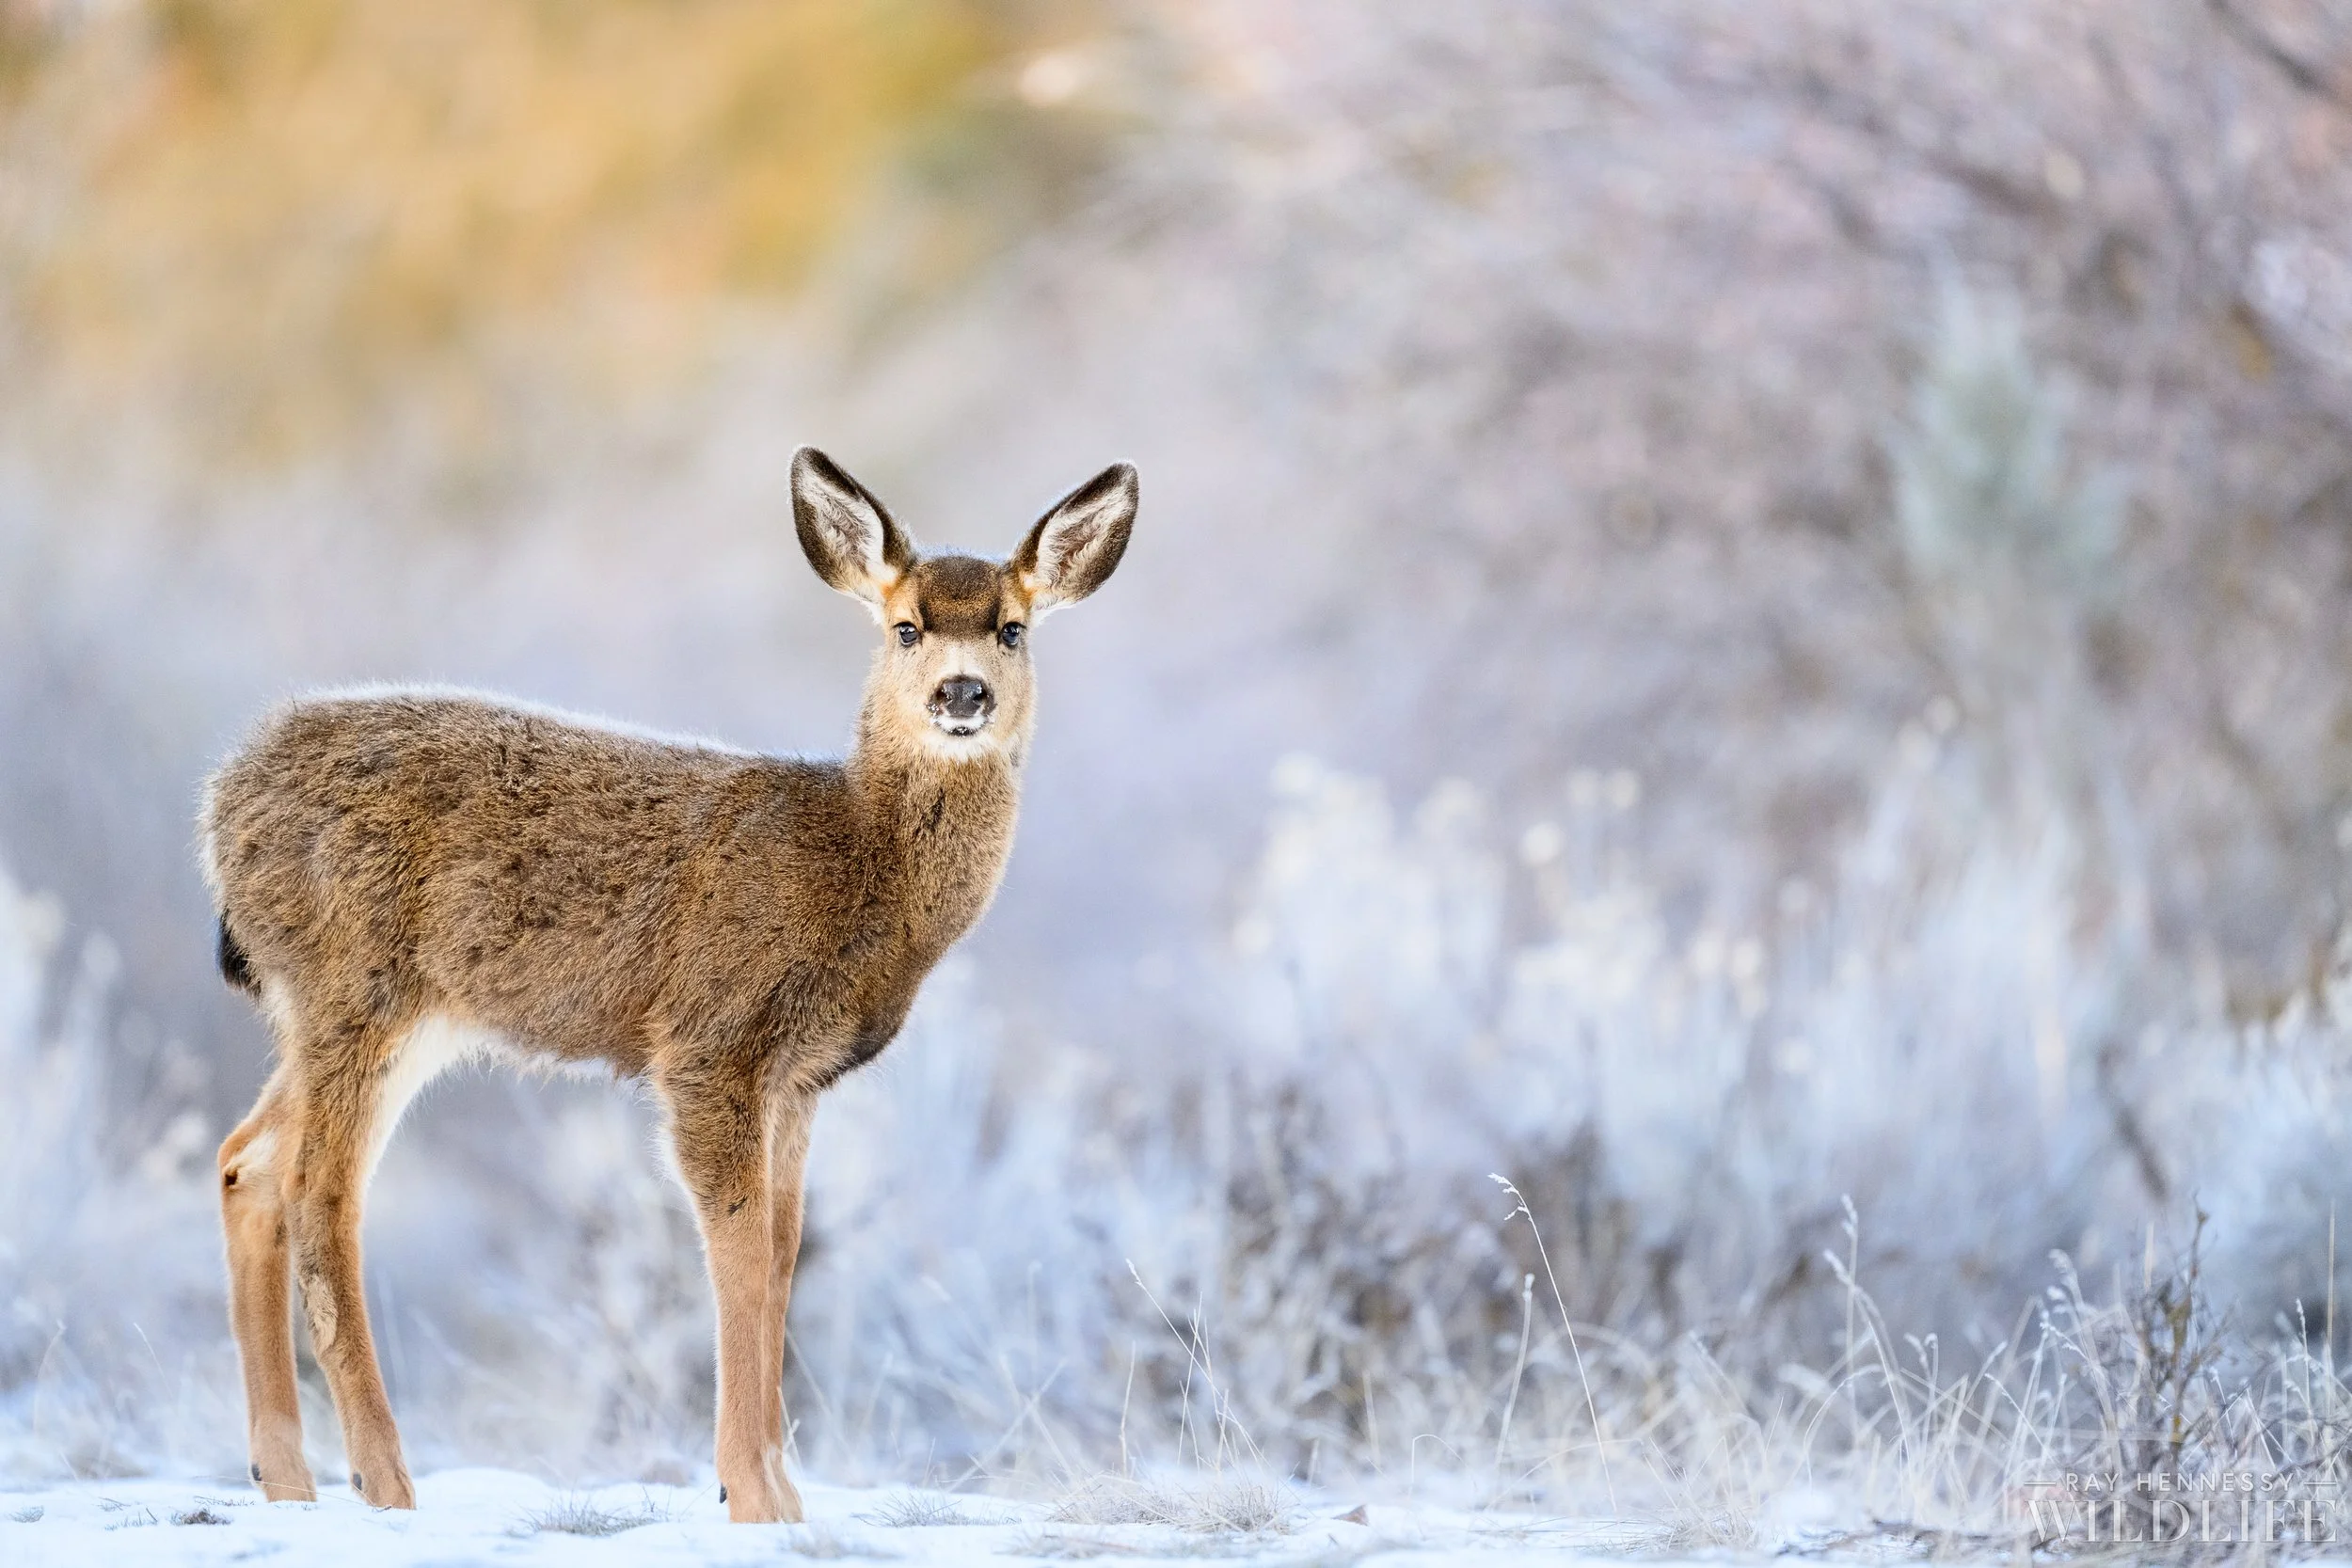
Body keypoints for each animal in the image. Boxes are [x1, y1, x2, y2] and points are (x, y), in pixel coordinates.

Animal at [200, 449, 1136, 1522]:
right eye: (905, 624)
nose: (963, 692)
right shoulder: (709, 1042)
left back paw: (286, 1479)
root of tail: (220, 806)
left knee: (247, 1162)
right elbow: (738, 1252)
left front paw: (784, 1494)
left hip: (368, 1016)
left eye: (1012, 625)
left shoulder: (798, 1079)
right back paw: (386, 1482)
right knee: (321, 1196)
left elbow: (783, 1252)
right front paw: (750, 1492)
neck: (858, 863)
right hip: (356, 985)